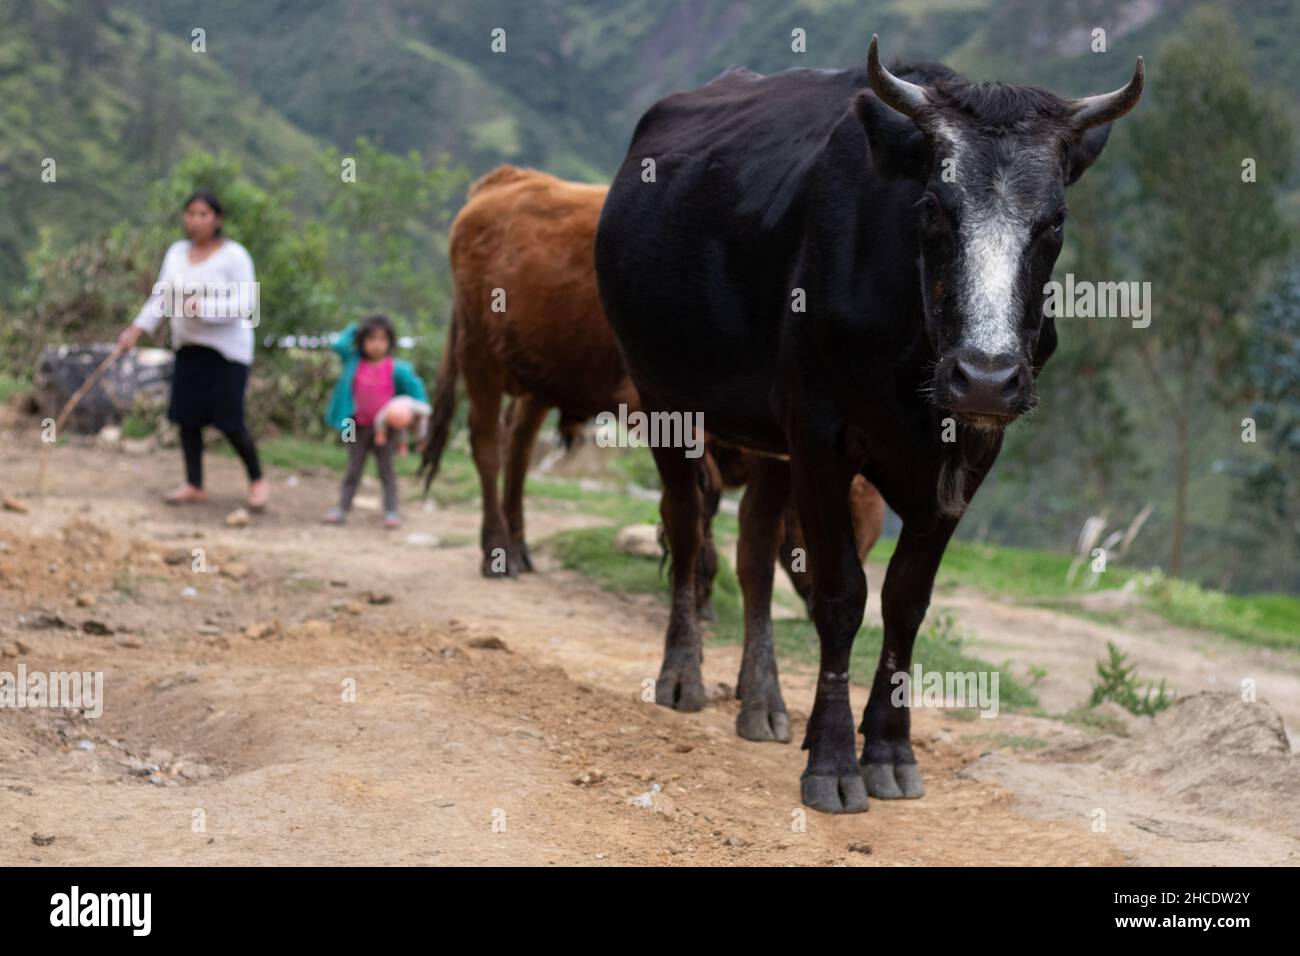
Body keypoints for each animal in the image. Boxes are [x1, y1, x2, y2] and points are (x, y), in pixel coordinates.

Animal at [595, 37, 1143, 812]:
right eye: (935, 207)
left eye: (1055, 221)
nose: (985, 376)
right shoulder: (820, 435)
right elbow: (840, 595)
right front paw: (831, 762)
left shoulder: (971, 454)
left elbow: (906, 601)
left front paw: (889, 749)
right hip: (665, 401)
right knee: (687, 522)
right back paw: (683, 678)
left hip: (770, 441)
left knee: (753, 547)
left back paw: (762, 702)